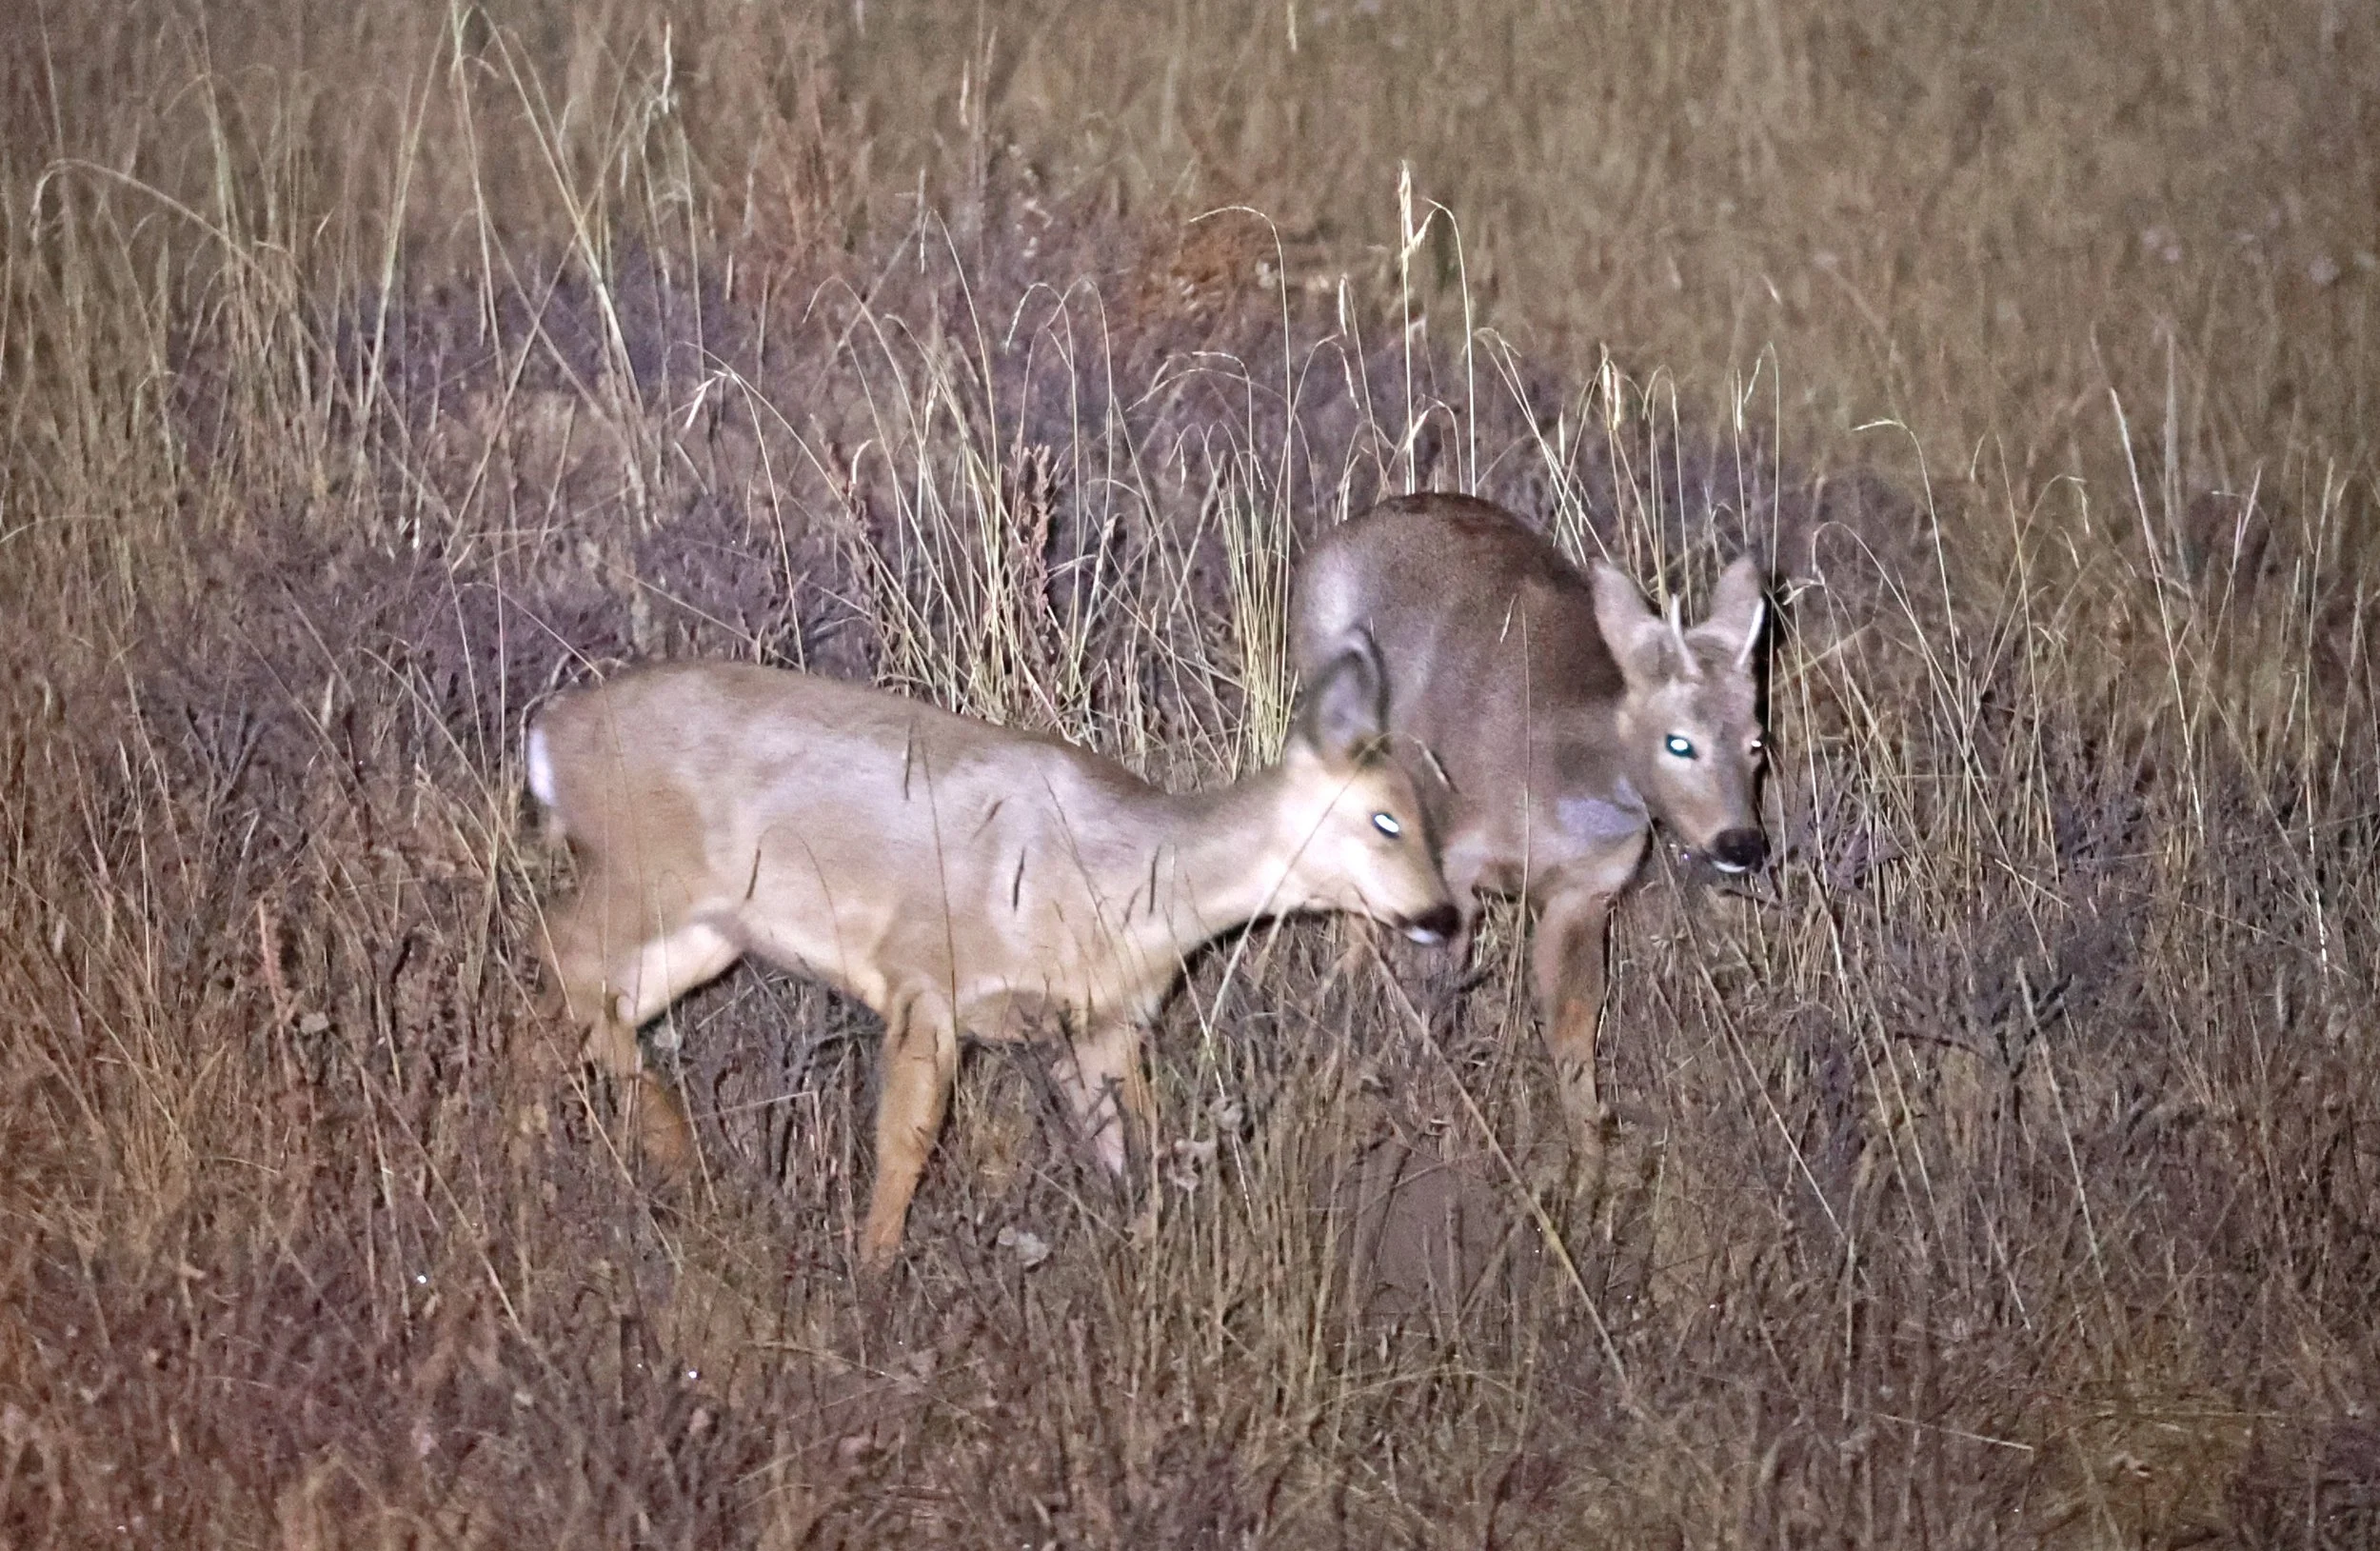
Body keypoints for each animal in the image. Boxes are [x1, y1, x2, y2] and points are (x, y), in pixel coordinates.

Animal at [523, 639, 1458, 1271]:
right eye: (1386, 819)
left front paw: (1154, 1254)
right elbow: (907, 1140)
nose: (1440, 913)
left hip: (708, 931)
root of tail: (548, 735)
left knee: (588, 998)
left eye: (1426, 816)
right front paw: (873, 1273)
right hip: (645, 875)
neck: (1126, 883)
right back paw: (666, 1145)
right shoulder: (928, 974)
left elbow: (1135, 1147)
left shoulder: (1102, 1026)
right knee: (559, 946)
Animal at [1292, 493, 1768, 1151]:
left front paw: (1589, 1151)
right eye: (1680, 743)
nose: (1741, 843)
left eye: (1757, 742)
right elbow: (1437, 991)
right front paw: (1423, 1095)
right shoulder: (1452, 863)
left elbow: (1574, 1024)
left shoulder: (1586, 893)